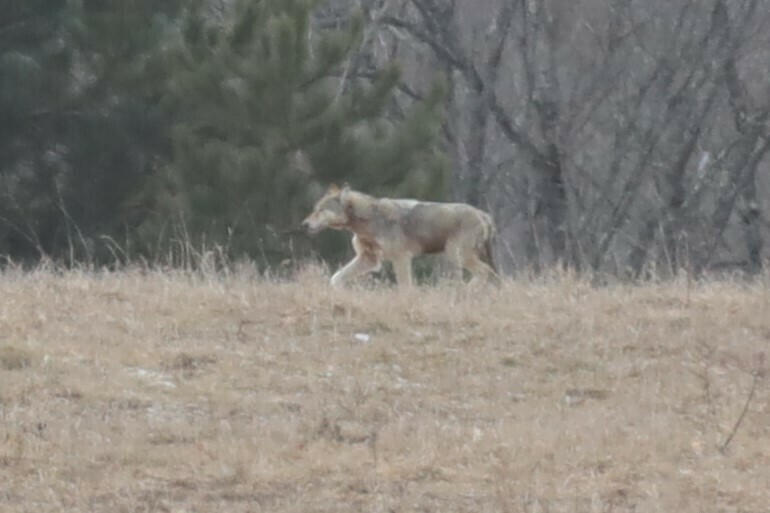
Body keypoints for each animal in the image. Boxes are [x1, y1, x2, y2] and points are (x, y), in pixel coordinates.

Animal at [301, 184, 498, 286]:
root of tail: (483, 214)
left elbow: (405, 287)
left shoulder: (401, 258)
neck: (368, 221)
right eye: (314, 209)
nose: (304, 224)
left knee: (485, 272)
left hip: (455, 254)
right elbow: (336, 277)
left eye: (321, 210)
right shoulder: (369, 259)